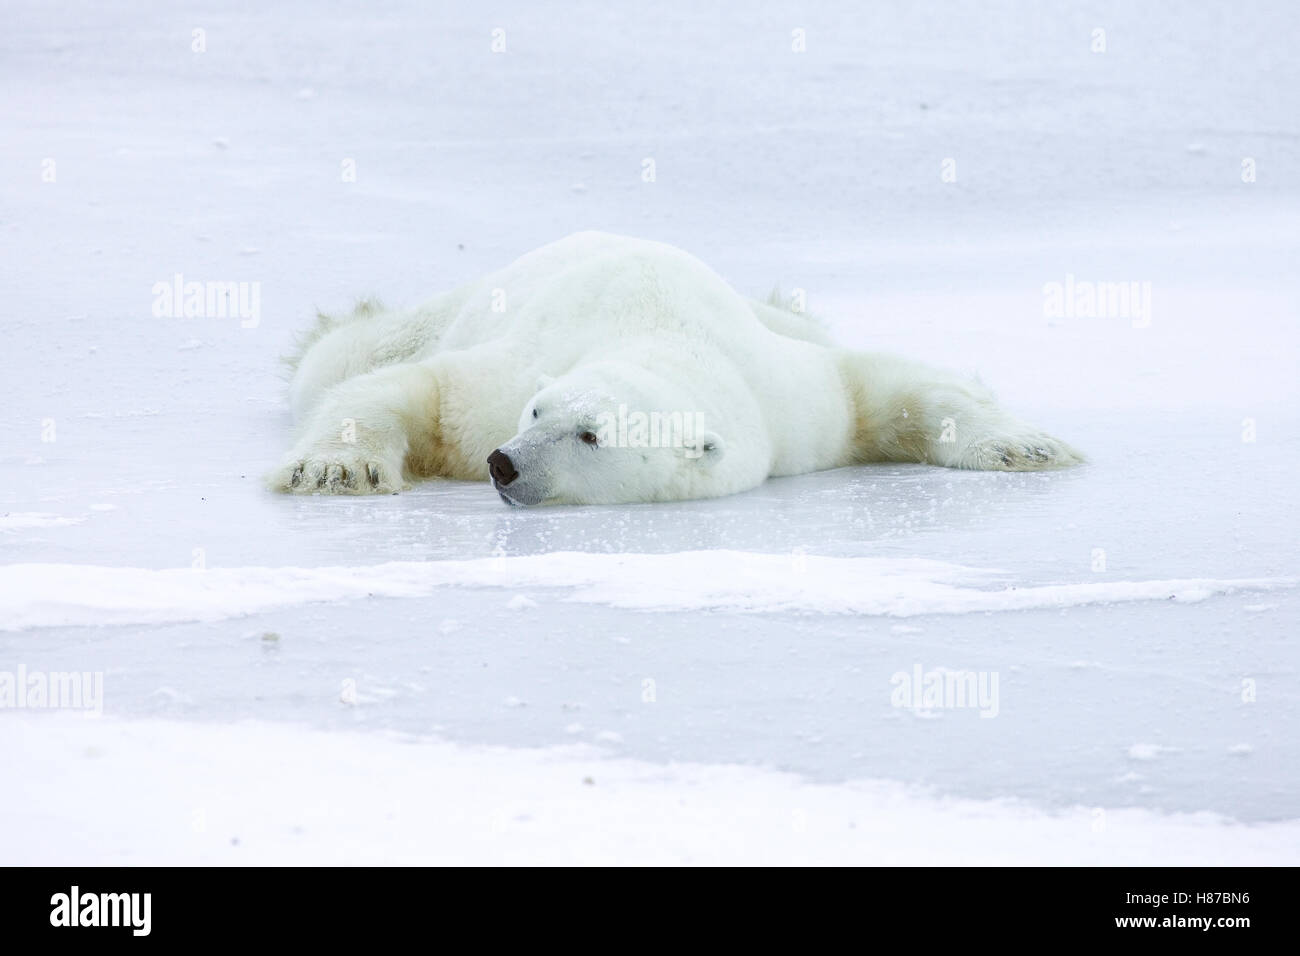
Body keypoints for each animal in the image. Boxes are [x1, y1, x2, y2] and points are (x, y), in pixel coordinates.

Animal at [268, 232, 1081, 504]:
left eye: (590, 436)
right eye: (537, 411)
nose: (502, 462)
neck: (662, 329)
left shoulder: (796, 401)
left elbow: (878, 388)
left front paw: (1025, 447)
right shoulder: (503, 380)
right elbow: (423, 391)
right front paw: (339, 469)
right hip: (450, 309)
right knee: (349, 353)